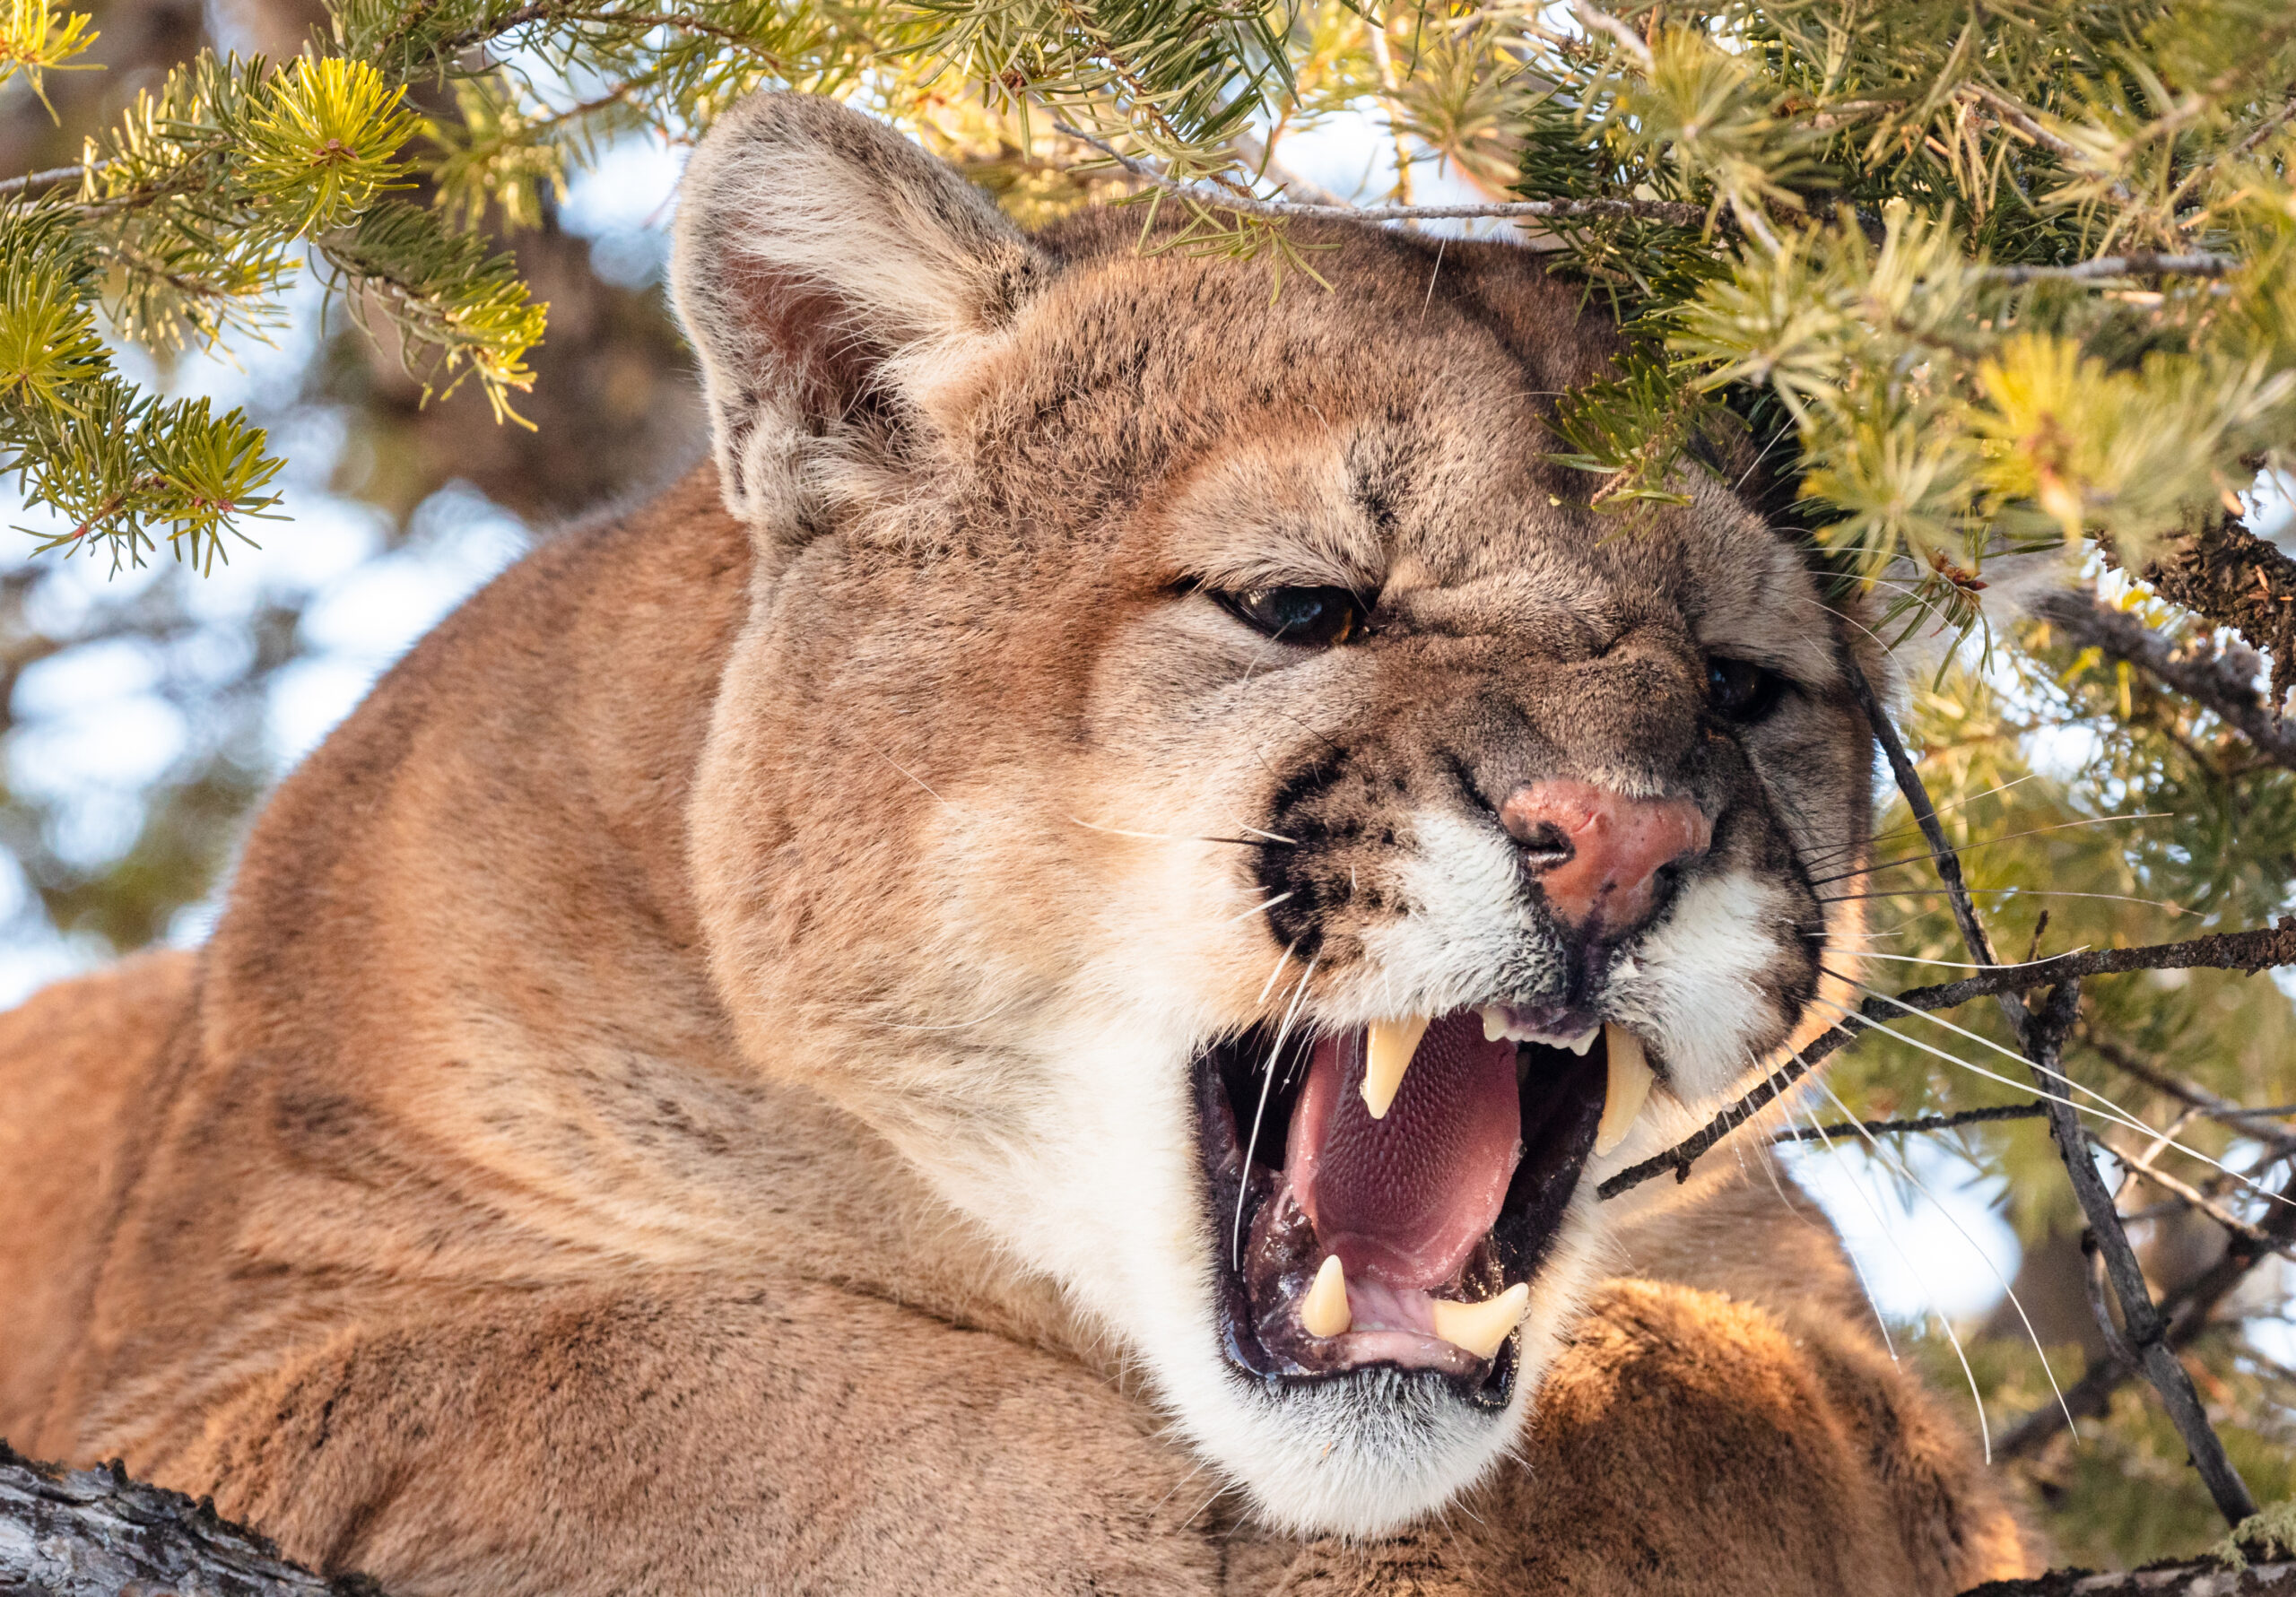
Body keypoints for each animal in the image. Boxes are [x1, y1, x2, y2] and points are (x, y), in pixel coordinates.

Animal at [0, 92, 2037, 1595]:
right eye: (1300, 604)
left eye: (1742, 681)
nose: (1619, 840)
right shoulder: (221, 1358)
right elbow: (667, 1384)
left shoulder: (1812, 1332)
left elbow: (1757, 1398)